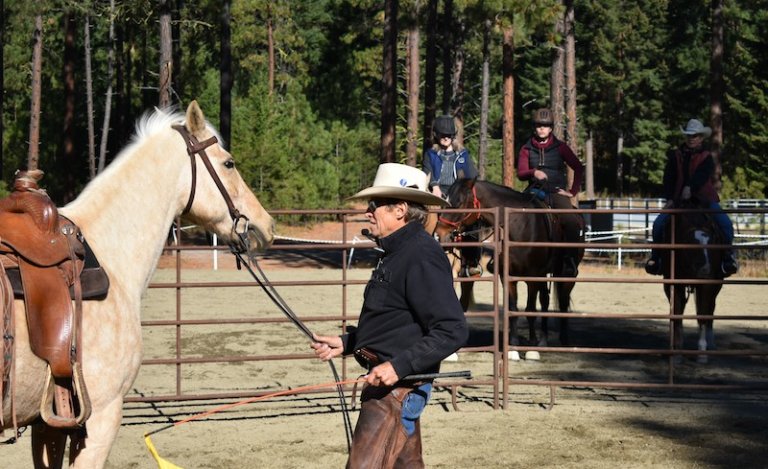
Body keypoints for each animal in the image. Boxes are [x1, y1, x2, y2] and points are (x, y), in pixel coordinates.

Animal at [435, 178, 583, 360]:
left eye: (460, 202)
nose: (439, 233)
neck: (520, 226)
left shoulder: (532, 276)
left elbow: (530, 309)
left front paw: (531, 350)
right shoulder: (508, 277)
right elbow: (513, 310)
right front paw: (513, 348)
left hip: (566, 274)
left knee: (562, 301)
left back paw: (561, 340)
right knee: (545, 301)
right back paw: (543, 340)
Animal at [660, 199, 724, 364]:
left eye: (713, 241)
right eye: (689, 242)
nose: (705, 271)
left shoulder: (707, 286)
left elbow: (702, 315)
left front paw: (702, 353)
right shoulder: (673, 283)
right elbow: (676, 313)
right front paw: (676, 352)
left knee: (710, 310)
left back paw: (711, 344)